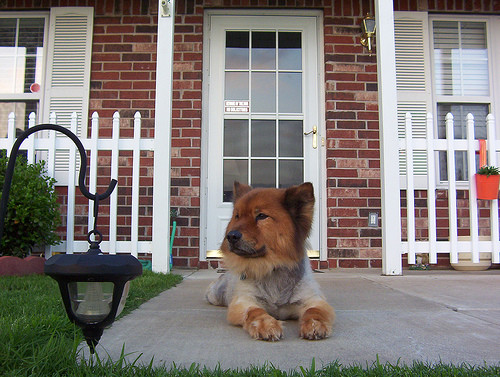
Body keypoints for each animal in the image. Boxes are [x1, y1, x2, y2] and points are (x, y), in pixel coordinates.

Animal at [205, 182, 334, 340]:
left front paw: (315, 325)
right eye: (237, 216)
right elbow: (255, 312)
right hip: (215, 295)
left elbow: (314, 311)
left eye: (261, 216)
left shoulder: (313, 298)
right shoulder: (244, 300)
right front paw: (266, 325)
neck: (272, 267)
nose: (231, 236)